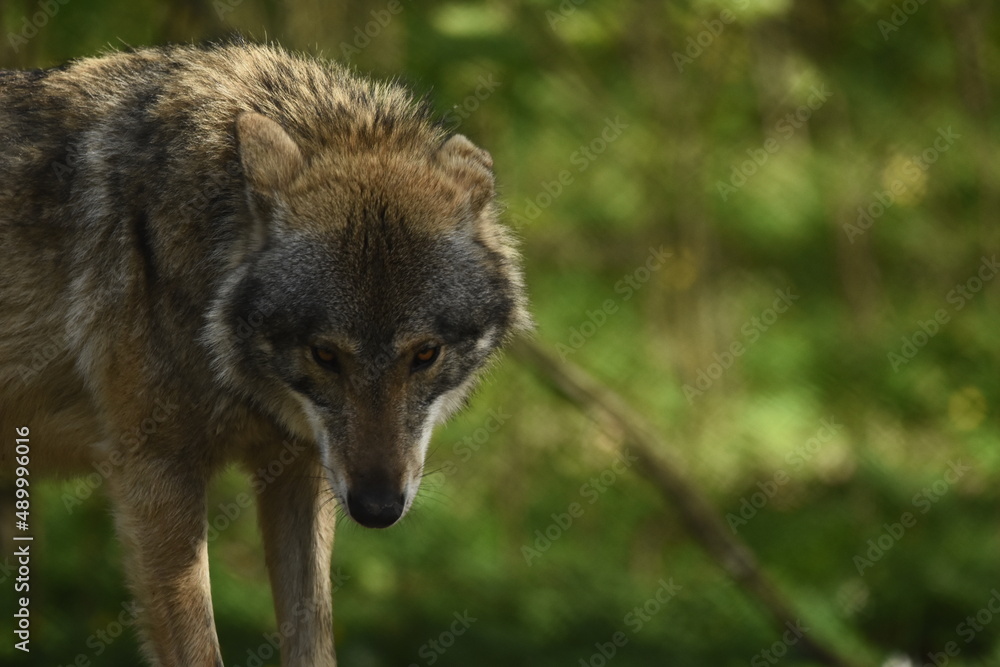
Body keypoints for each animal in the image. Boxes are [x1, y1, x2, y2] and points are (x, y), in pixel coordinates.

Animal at [0, 42, 529, 666]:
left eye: (425, 354)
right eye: (324, 354)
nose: (377, 509)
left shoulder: (300, 470)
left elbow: (312, 641)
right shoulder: (154, 474)